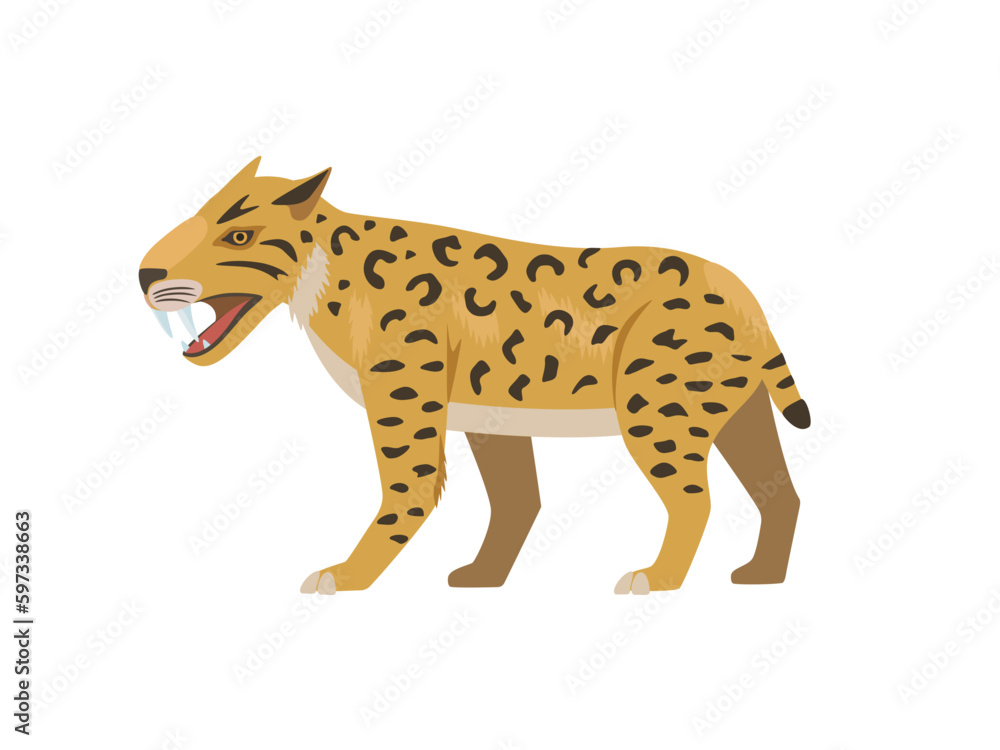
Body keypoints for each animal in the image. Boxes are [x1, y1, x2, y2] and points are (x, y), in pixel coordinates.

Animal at [139, 157, 809, 594]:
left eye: (239, 235)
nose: (146, 274)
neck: (320, 279)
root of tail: (743, 290)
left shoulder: (404, 406)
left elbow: (407, 494)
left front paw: (348, 576)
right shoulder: (492, 417)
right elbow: (516, 500)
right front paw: (484, 578)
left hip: (657, 412)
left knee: (696, 498)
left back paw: (659, 579)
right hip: (736, 413)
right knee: (780, 490)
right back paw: (764, 576)